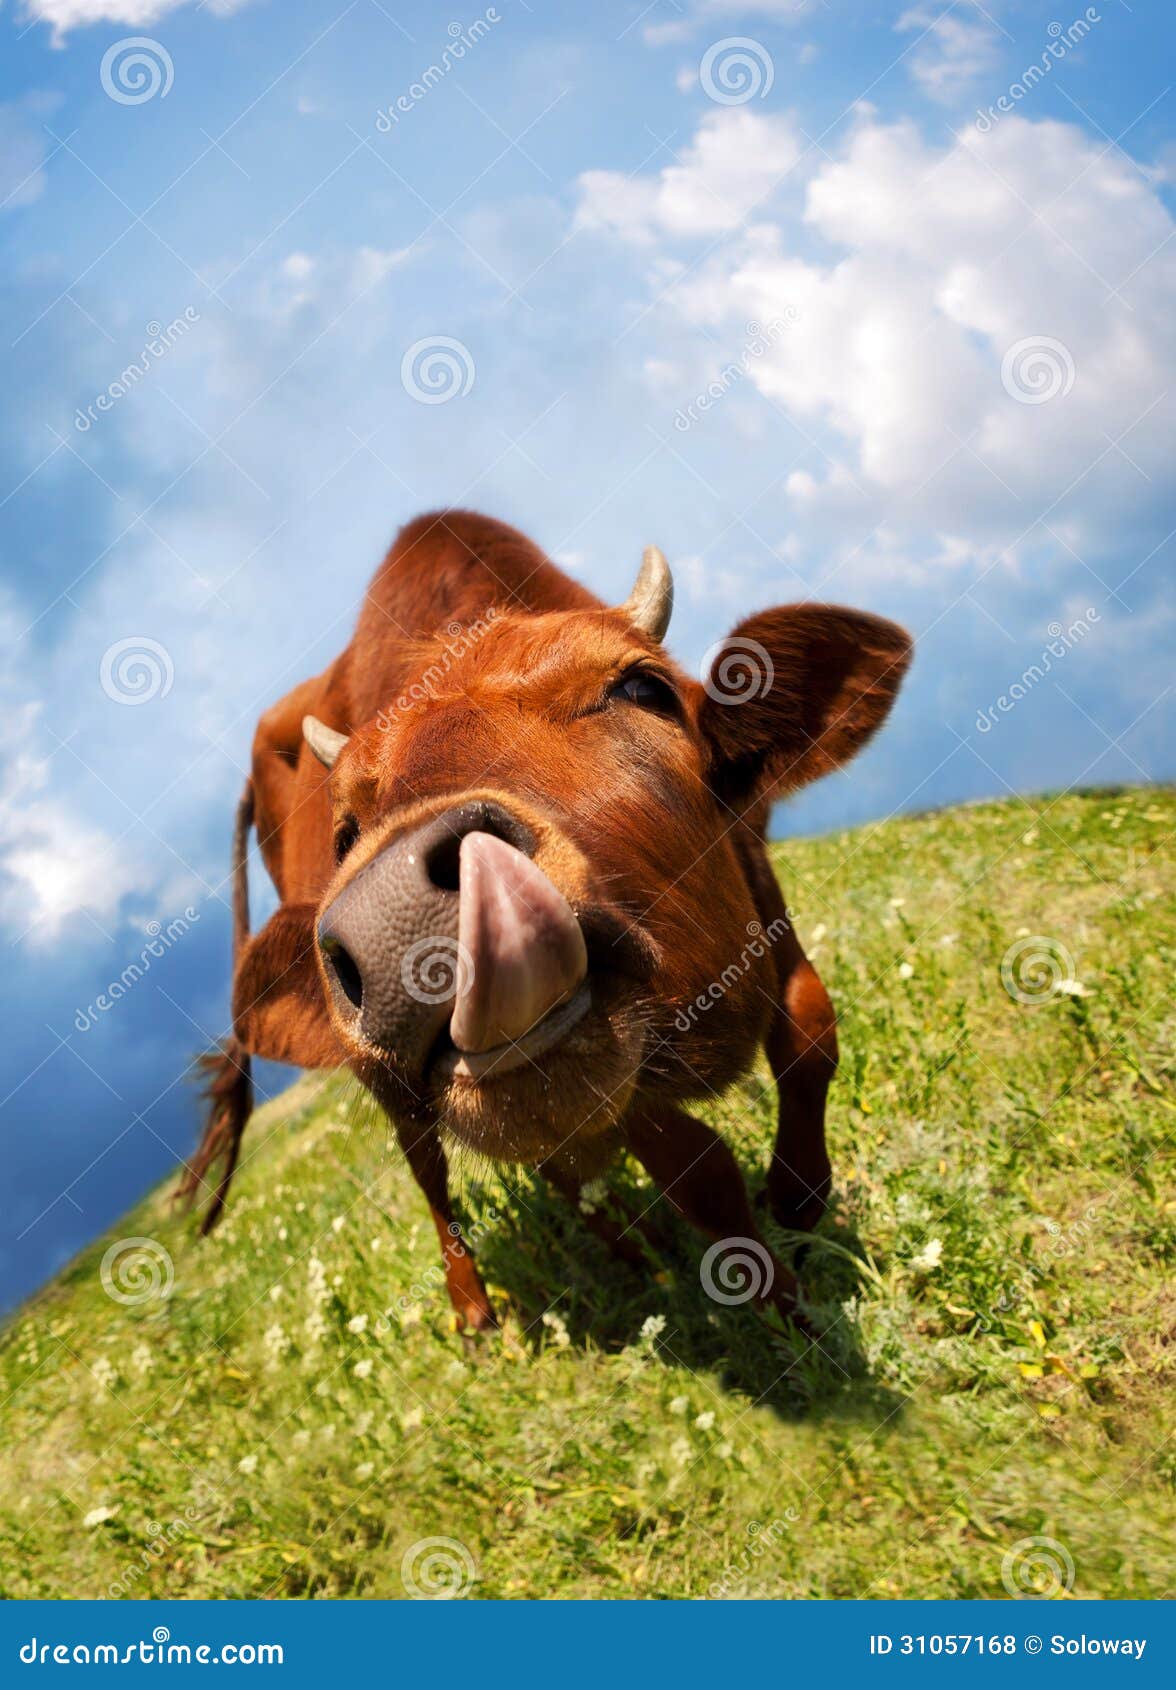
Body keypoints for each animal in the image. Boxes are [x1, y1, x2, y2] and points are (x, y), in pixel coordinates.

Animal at [180, 510, 911, 1332]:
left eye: (642, 687)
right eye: (345, 829)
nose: (393, 913)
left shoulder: (755, 870)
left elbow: (811, 1030)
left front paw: (798, 1195)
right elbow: (703, 1177)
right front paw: (791, 1321)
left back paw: (641, 1256)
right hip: (379, 1070)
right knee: (431, 1168)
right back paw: (478, 1311)